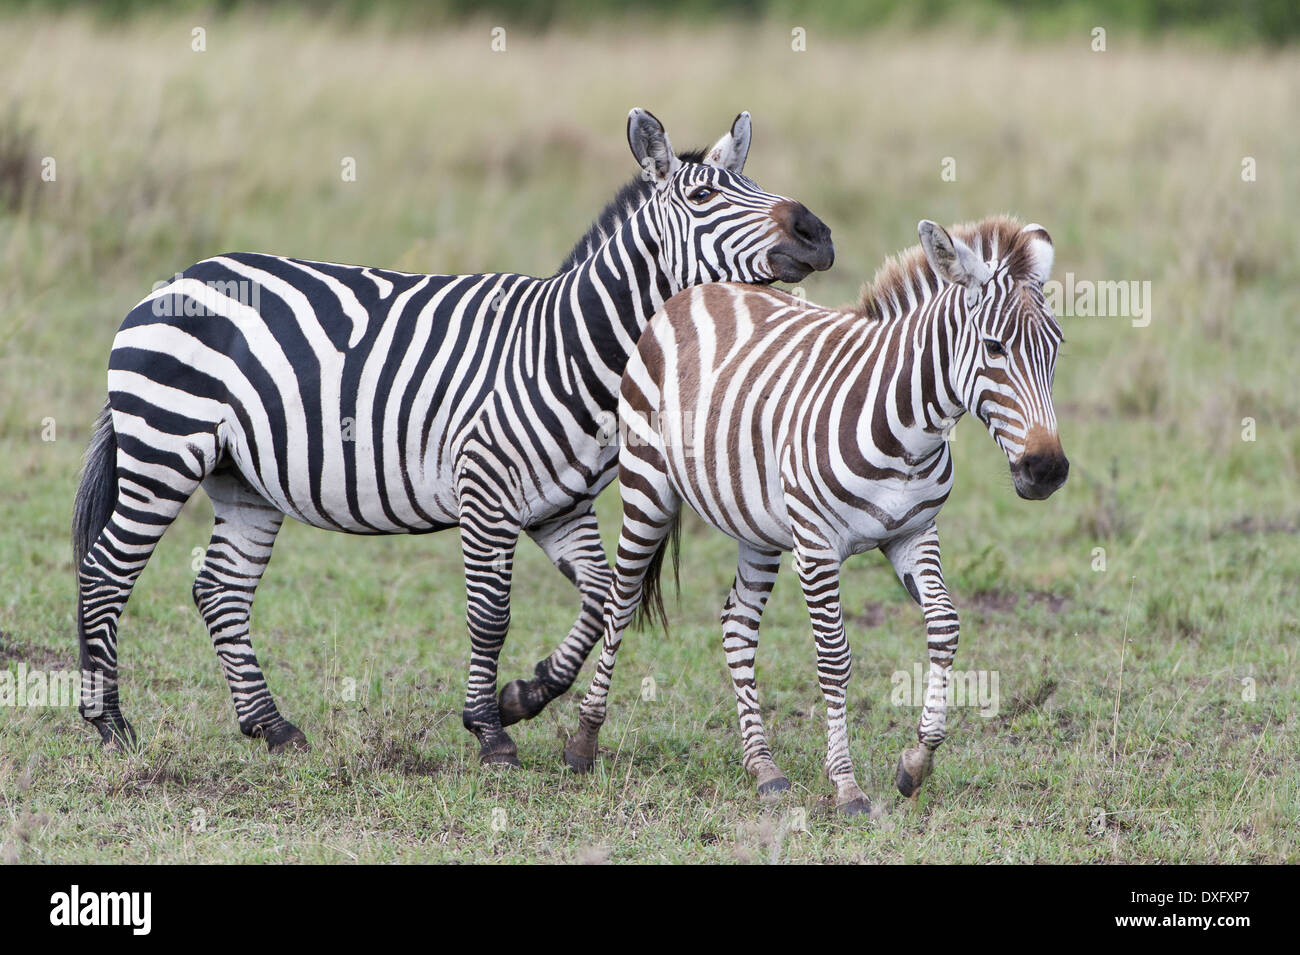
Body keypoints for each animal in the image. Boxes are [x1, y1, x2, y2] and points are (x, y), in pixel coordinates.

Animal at [71, 109, 834, 764]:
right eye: (703, 196)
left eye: (755, 184)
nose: (817, 233)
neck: (567, 347)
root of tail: (174, 280)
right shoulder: (484, 491)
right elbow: (490, 614)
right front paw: (490, 730)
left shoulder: (563, 506)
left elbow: (600, 597)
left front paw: (525, 695)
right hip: (165, 449)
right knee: (107, 569)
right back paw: (109, 723)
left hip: (242, 479)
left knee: (220, 589)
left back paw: (272, 726)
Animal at [562, 216, 1068, 813]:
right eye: (994, 346)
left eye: (1056, 348)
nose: (1047, 470)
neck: (906, 431)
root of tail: (695, 290)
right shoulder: (818, 549)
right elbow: (834, 658)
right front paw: (846, 785)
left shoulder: (914, 534)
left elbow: (945, 626)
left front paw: (916, 763)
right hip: (648, 486)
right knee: (620, 601)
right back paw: (583, 743)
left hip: (755, 522)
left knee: (737, 623)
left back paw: (763, 768)